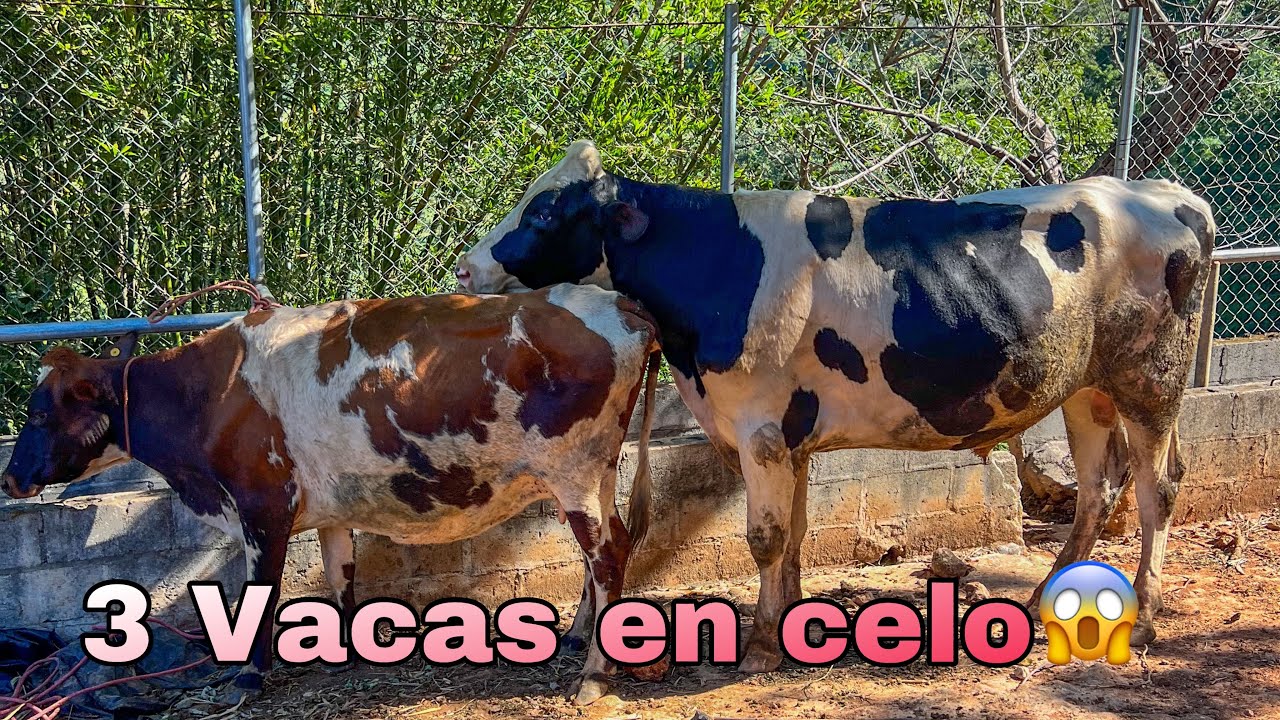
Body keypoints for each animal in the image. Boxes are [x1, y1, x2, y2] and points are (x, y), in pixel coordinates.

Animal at [1, 284, 661, 705]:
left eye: (38, 414)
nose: (8, 479)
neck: (209, 394)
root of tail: (618, 305)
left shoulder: (262, 508)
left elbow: (262, 596)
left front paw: (248, 678)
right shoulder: (330, 511)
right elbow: (340, 578)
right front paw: (345, 651)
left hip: (574, 472)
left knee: (607, 556)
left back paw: (595, 676)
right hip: (597, 473)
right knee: (609, 550)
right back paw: (577, 637)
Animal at [456, 139, 1215, 673]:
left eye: (544, 208)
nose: (466, 266)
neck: (717, 264)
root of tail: (1162, 193)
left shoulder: (761, 427)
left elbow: (764, 537)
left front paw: (763, 645)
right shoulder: (788, 434)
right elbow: (792, 533)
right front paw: (794, 626)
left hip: (1151, 380)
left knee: (1158, 487)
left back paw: (1146, 615)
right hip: (1088, 387)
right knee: (1097, 488)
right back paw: (1040, 600)